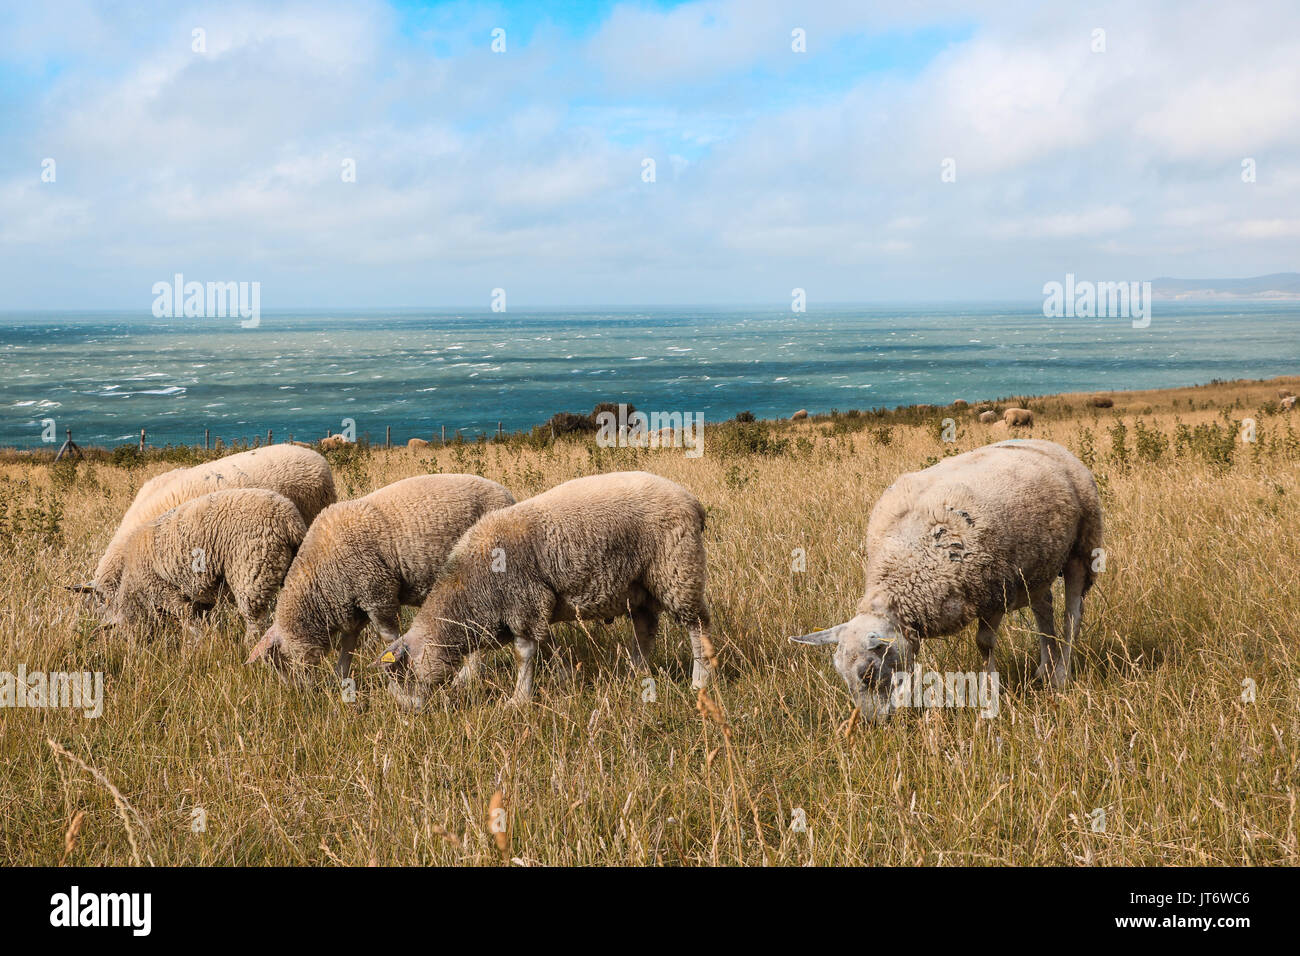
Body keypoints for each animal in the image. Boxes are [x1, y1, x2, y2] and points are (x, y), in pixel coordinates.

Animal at [107, 489, 307, 644]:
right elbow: (202, 618)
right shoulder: (199, 598)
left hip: (252, 572)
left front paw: (195, 642)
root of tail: (289, 520)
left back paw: (249, 647)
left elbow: (187, 617)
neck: (135, 587)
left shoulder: (165, 590)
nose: (135, 649)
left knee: (254, 620)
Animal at [246, 474, 515, 681]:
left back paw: (467, 676)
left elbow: (389, 638)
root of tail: (508, 495)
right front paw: (340, 679)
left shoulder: (378, 594)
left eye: (282, 661)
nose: (299, 692)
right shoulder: (355, 605)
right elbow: (348, 644)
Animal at [378, 471, 712, 709]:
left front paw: (518, 699)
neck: (468, 591)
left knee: (697, 624)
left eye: (404, 674)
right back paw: (636, 672)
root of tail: (692, 501)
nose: (410, 711)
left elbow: (524, 653)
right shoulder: (535, 607)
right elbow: (548, 643)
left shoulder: (523, 601)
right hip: (639, 584)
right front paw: (565, 676)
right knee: (645, 628)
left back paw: (700, 679)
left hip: (677, 569)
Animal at [791, 439, 1102, 723]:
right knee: (1044, 609)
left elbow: (984, 643)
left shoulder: (994, 591)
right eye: (842, 676)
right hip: (1038, 566)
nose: (873, 723)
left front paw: (990, 689)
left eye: (867, 674)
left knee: (1072, 616)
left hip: (1082, 547)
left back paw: (1061, 675)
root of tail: (1046, 443)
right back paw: (1044, 669)